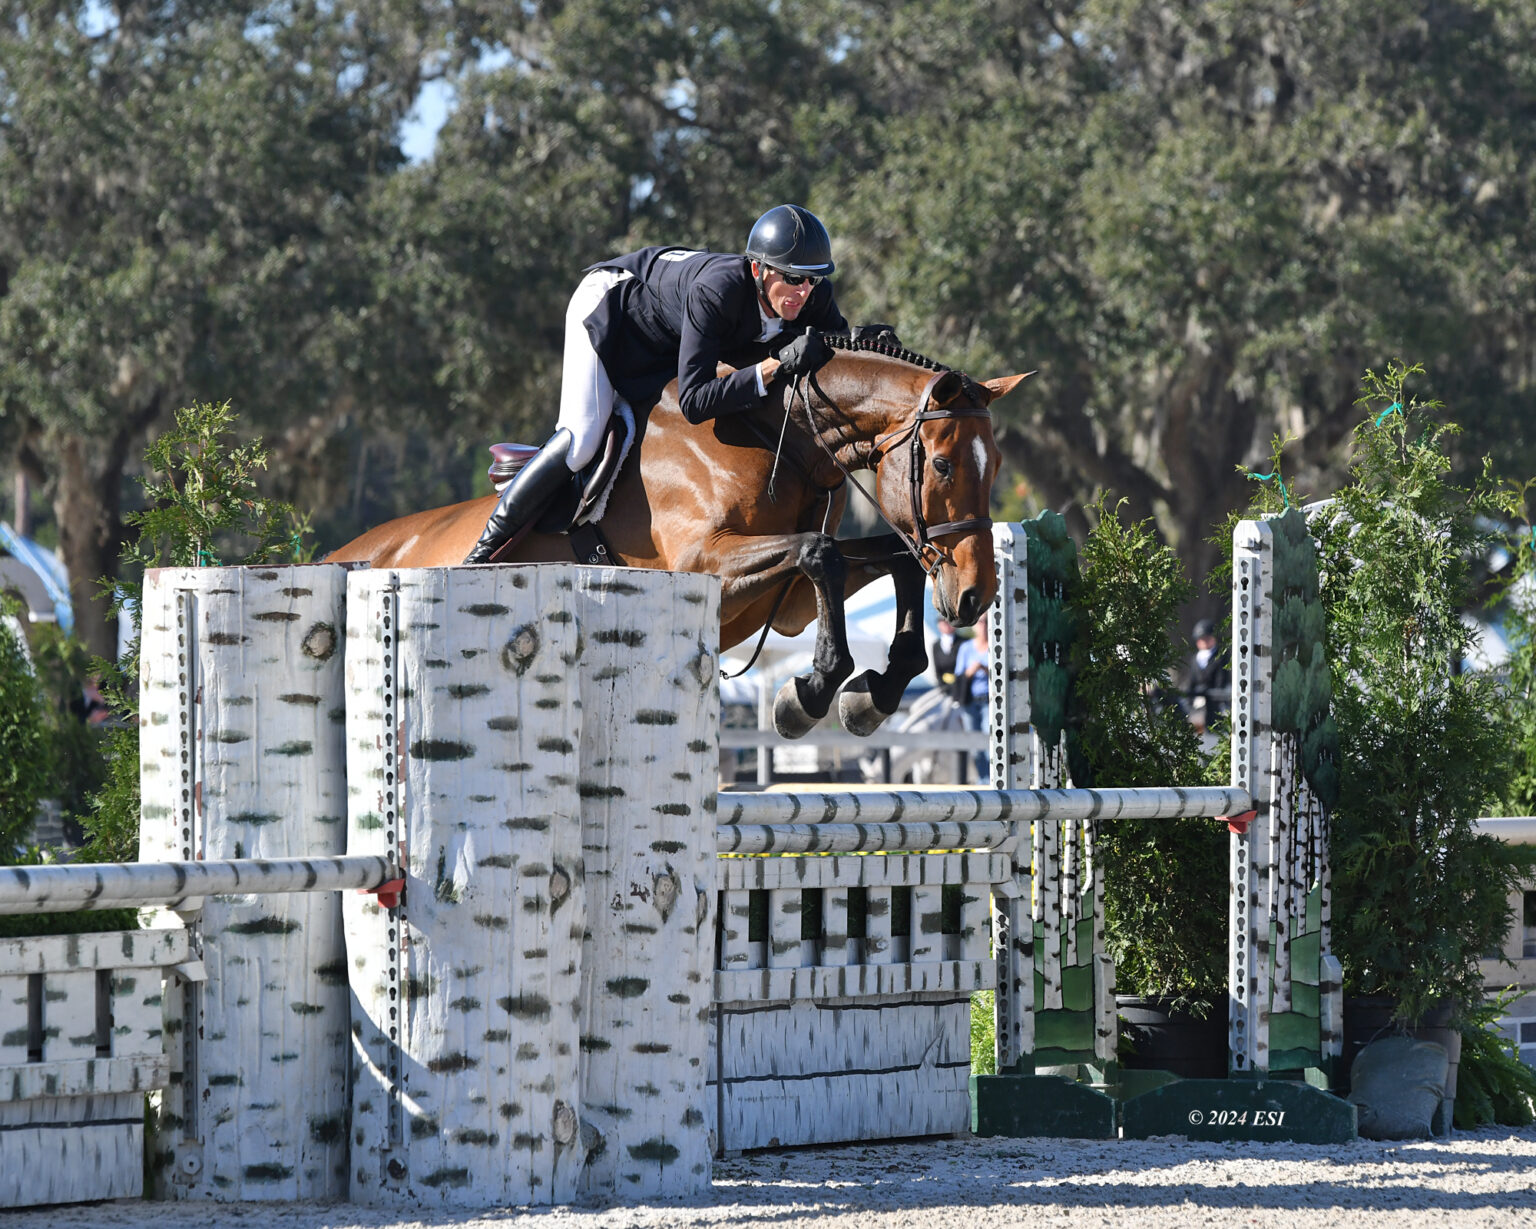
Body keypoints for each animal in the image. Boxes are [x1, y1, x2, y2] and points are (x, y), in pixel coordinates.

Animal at [328, 336, 1029, 739]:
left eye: (996, 464)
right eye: (944, 465)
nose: (975, 595)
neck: (773, 434)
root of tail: (341, 555)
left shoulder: (788, 603)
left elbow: (892, 561)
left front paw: (873, 694)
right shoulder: (704, 562)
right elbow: (820, 552)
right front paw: (810, 692)